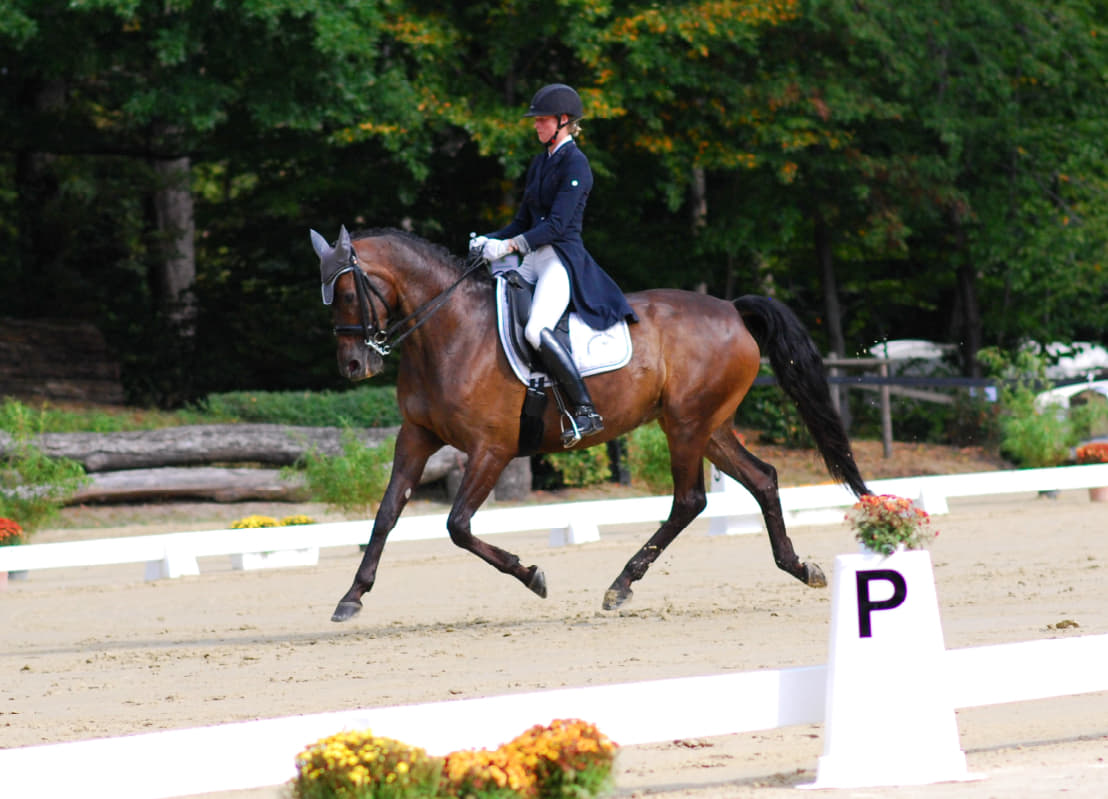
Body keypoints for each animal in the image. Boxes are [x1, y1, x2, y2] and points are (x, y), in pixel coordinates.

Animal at [310, 226, 870, 623]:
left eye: (347, 293)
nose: (355, 366)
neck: (449, 333)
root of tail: (732, 311)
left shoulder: (491, 448)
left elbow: (457, 525)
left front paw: (532, 575)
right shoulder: (416, 437)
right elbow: (386, 514)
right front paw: (351, 596)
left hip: (686, 426)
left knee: (690, 500)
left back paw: (621, 586)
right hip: (708, 426)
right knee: (762, 479)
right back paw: (799, 567)